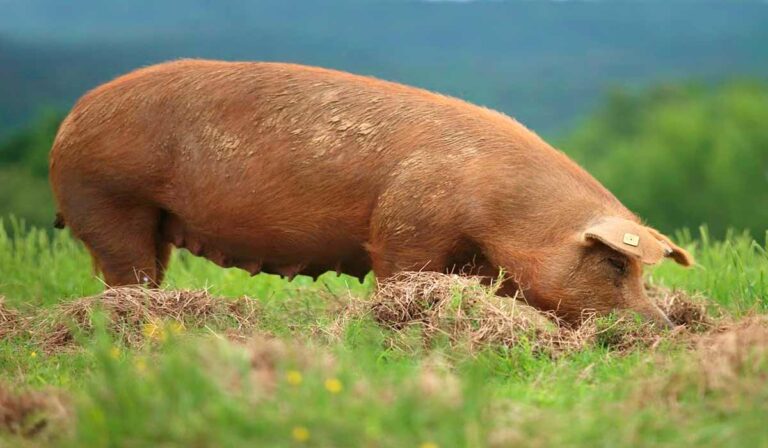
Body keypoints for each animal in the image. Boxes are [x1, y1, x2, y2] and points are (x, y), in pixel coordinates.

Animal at [49, 59, 693, 326]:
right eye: (616, 264)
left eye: (643, 271)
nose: (663, 326)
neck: (498, 213)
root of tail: (69, 120)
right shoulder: (406, 222)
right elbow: (399, 271)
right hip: (108, 199)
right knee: (127, 270)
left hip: (147, 218)